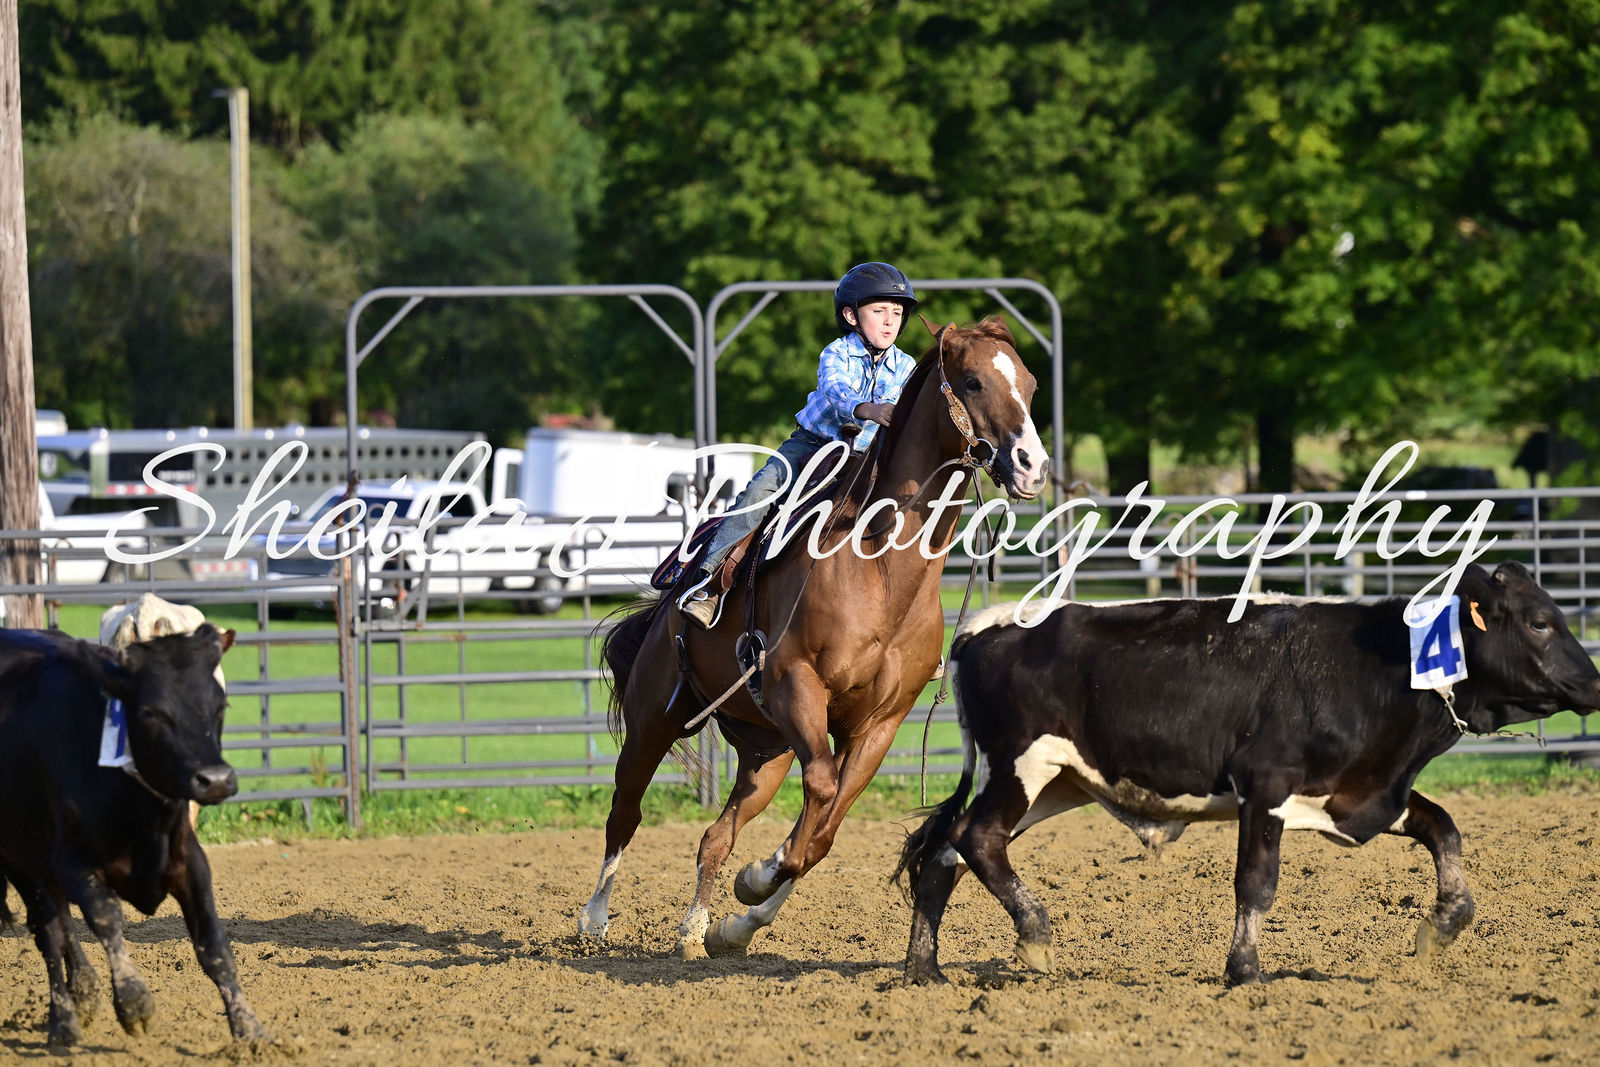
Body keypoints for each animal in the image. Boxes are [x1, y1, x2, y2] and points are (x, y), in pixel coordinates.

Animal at [0, 625, 266, 1049]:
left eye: (220, 706)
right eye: (150, 712)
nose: (215, 780)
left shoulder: (190, 860)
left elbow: (214, 945)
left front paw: (248, 1027)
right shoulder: (70, 859)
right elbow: (106, 917)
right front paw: (132, 1000)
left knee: (61, 924)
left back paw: (84, 992)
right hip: (21, 860)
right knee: (49, 932)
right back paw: (63, 1020)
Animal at [896, 561, 1600, 988]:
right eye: (1540, 622)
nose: (1594, 683)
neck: (1381, 665)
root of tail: (983, 626)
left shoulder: (1369, 791)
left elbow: (1443, 827)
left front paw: (1443, 924)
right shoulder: (1265, 788)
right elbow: (1256, 883)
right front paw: (1246, 971)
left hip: (1048, 780)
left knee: (946, 854)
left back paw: (924, 970)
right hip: (1022, 765)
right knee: (976, 839)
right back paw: (1035, 936)